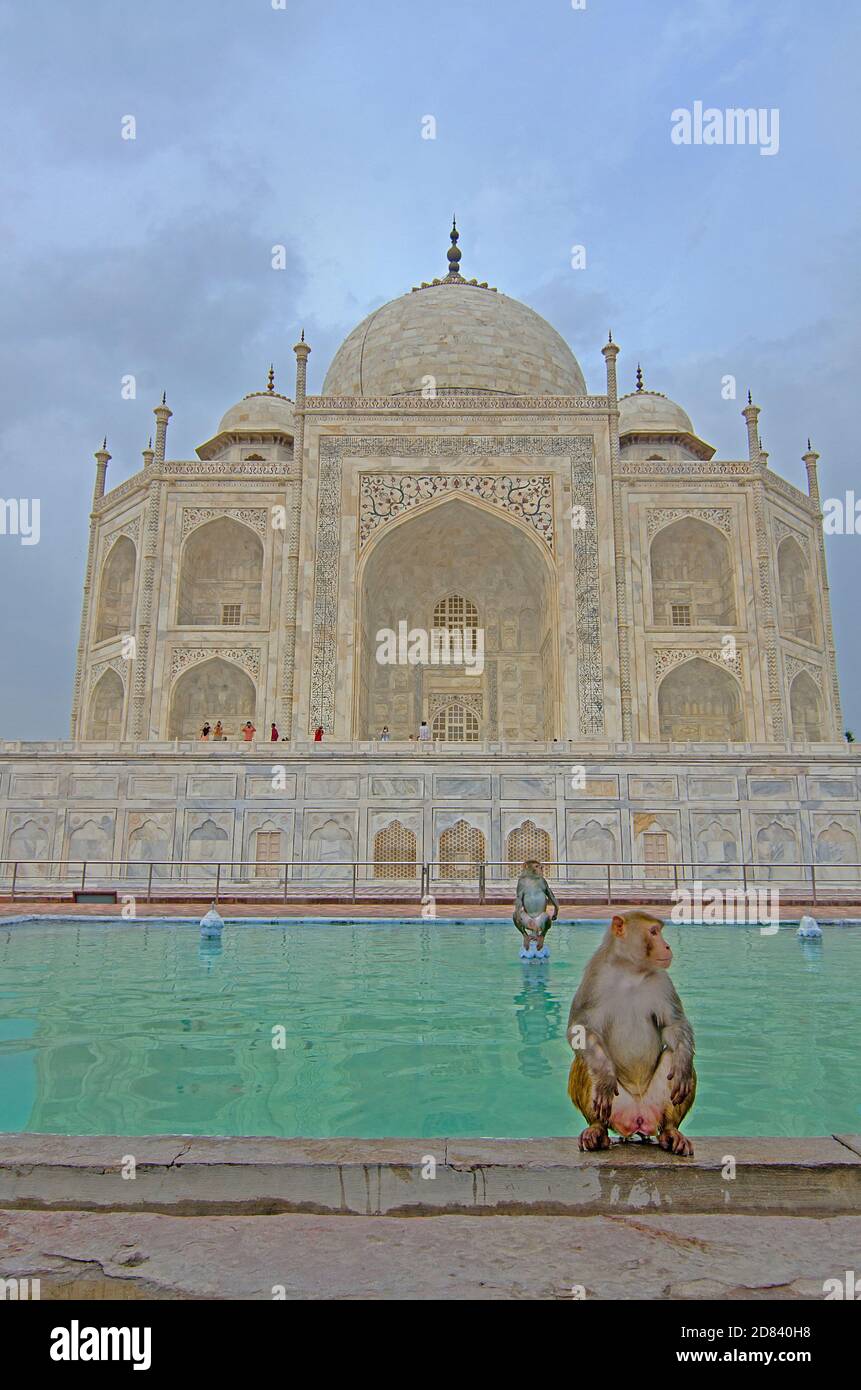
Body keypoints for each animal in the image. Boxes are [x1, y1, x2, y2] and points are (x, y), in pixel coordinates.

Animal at [566, 910, 696, 1156]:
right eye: (653, 932)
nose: (667, 946)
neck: (630, 972)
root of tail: (638, 1117)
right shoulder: (594, 977)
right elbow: (580, 1030)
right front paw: (605, 1078)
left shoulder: (662, 980)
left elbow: (673, 1025)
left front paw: (683, 1064)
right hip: (615, 1107)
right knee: (583, 1060)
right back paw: (596, 1130)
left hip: (655, 1105)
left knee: (671, 1056)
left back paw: (671, 1131)